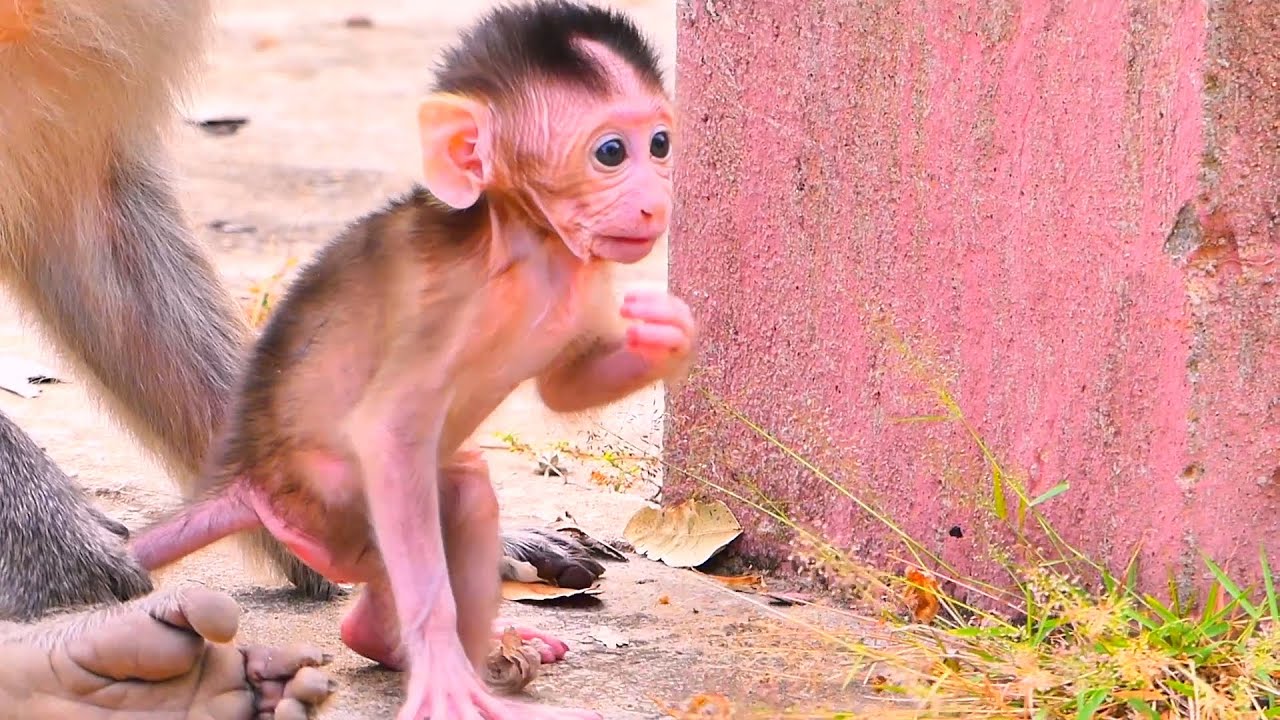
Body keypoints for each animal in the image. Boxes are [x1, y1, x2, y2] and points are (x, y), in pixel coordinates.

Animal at [127, 1, 693, 717]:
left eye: (661, 144)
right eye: (611, 153)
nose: (656, 202)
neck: (523, 249)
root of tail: (249, 477)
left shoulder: (586, 279)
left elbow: (566, 385)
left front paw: (669, 335)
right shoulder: (436, 309)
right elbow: (389, 433)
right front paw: (440, 668)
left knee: (469, 493)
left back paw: (412, 645)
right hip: (330, 511)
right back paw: (420, 652)